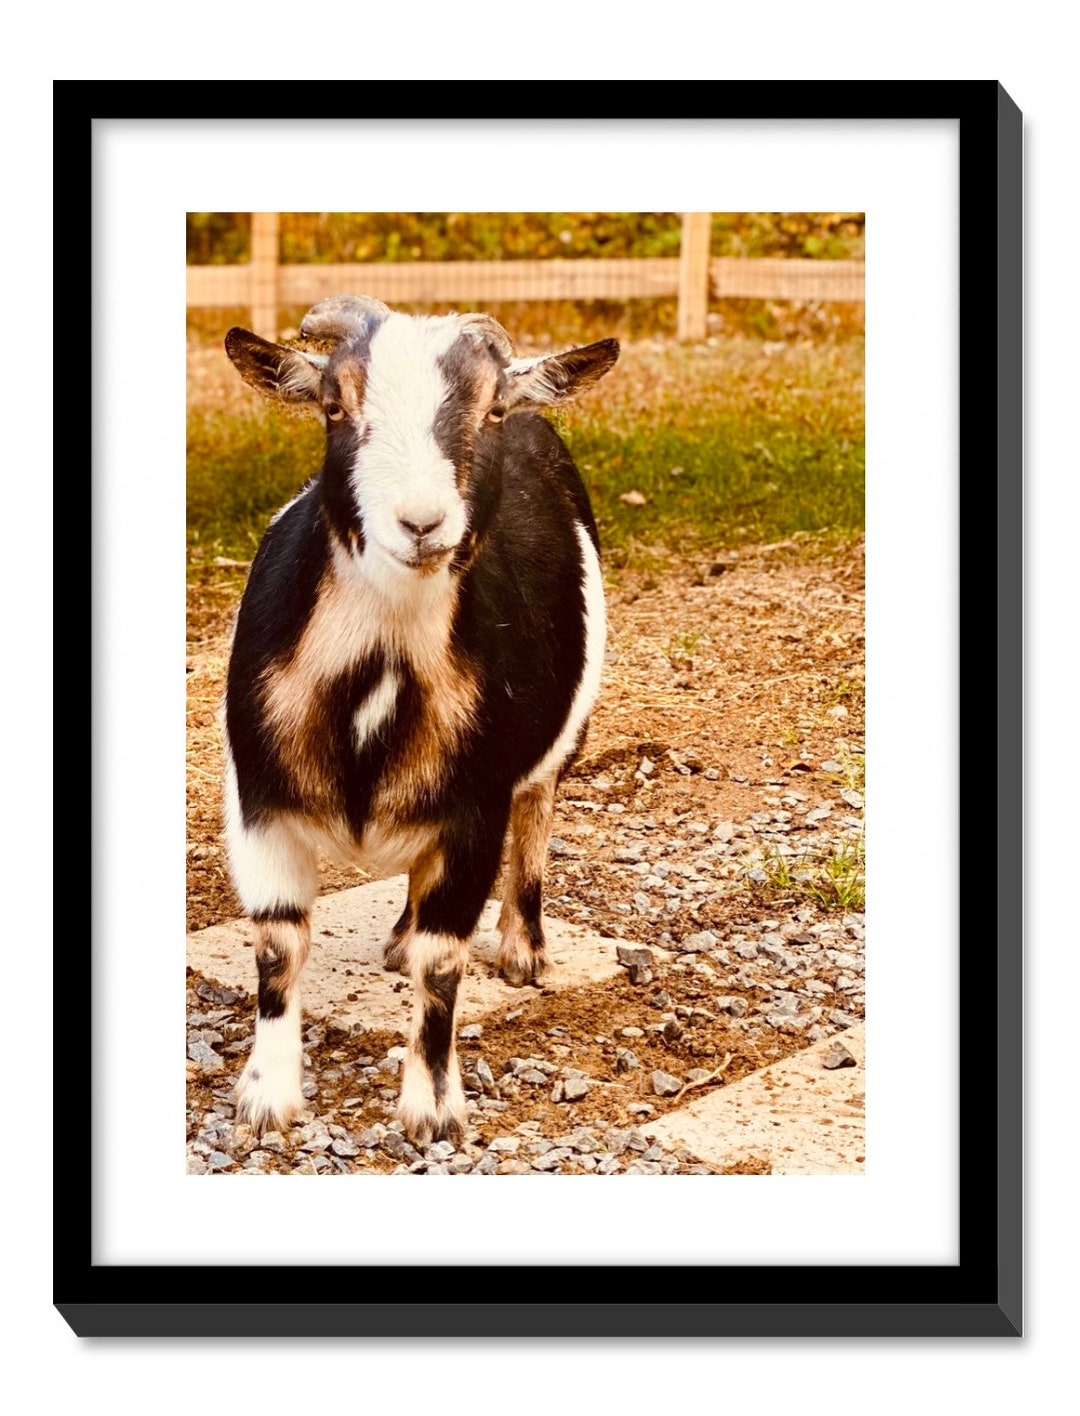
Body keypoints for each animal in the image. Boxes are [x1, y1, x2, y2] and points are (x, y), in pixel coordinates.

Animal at [221, 294, 619, 1147]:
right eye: (334, 407)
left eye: (491, 407)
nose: (421, 522)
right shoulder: (257, 800)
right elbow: (277, 943)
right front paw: (267, 1097)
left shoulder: (475, 808)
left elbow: (446, 961)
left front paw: (431, 1108)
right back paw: (400, 937)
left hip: (564, 735)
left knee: (539, 810)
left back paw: (524, 949)